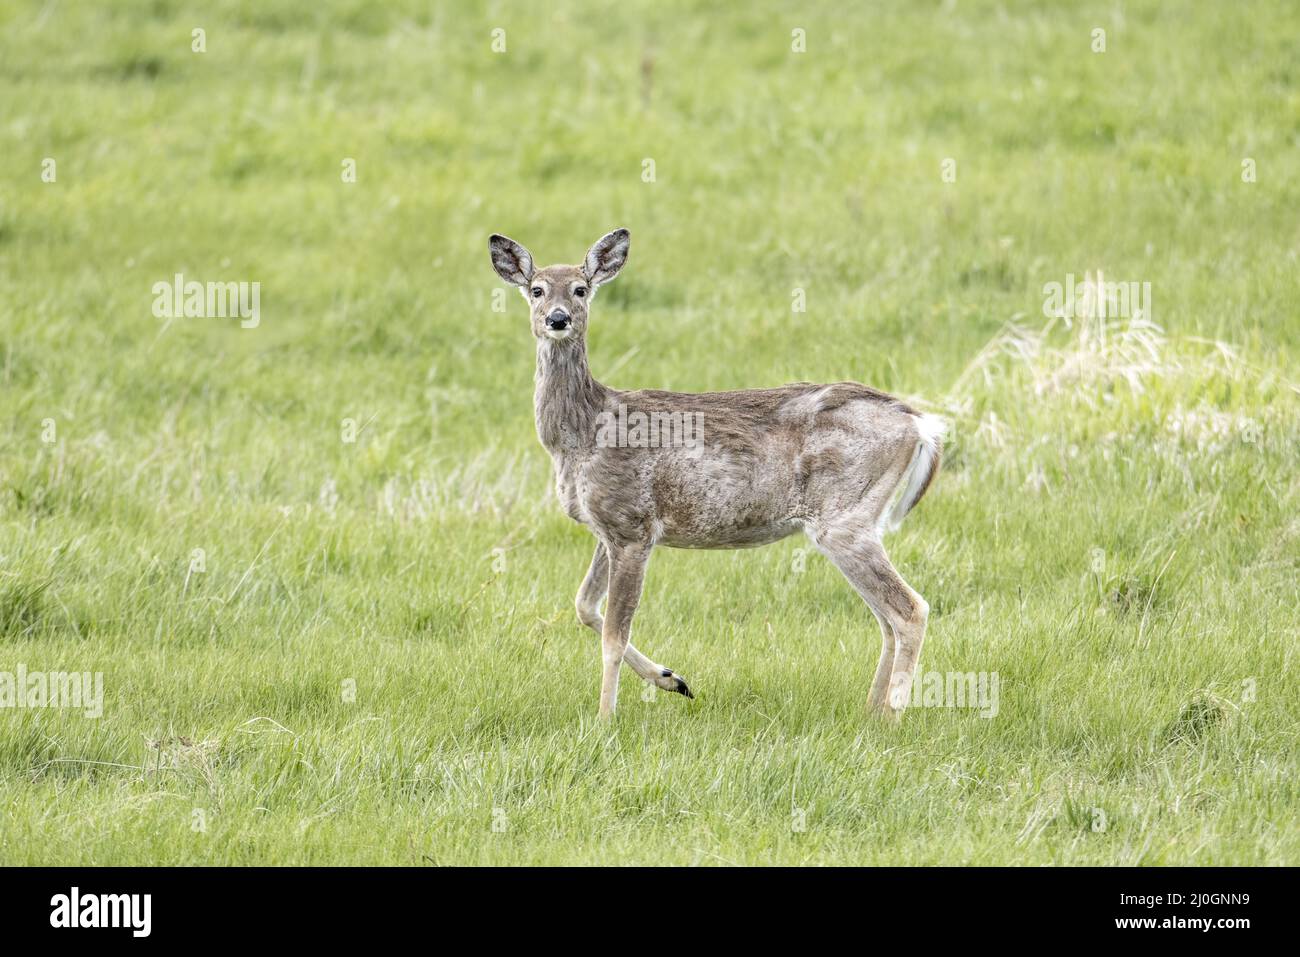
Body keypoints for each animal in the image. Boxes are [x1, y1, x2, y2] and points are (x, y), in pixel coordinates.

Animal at [489, 229, 944, 720]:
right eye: (537, 289)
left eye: (580, 289)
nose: (557, 319)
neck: (583, 432)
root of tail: (919, 423)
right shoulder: (605, 529)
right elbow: (584, 606)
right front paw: (673, 679)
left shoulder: (633, 526)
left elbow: (613, 635)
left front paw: (605, 719)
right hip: (858, 522)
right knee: (886, 618)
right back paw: (871, 710)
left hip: (844, 518)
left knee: (909, 610)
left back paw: (893, 715)